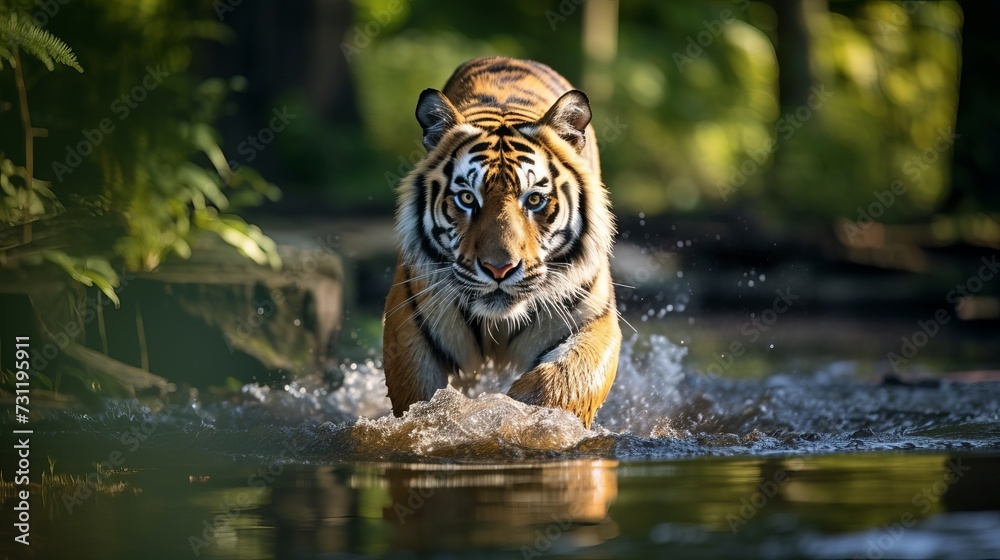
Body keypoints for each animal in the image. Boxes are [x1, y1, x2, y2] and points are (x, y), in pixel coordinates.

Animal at [382, 56, 621, 428]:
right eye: (467, 198)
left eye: (534, 199)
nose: (499, 269)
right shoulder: (409, 328)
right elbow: (421, 405)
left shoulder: (594, 321)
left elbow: (562, 384)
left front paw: (517, 416)